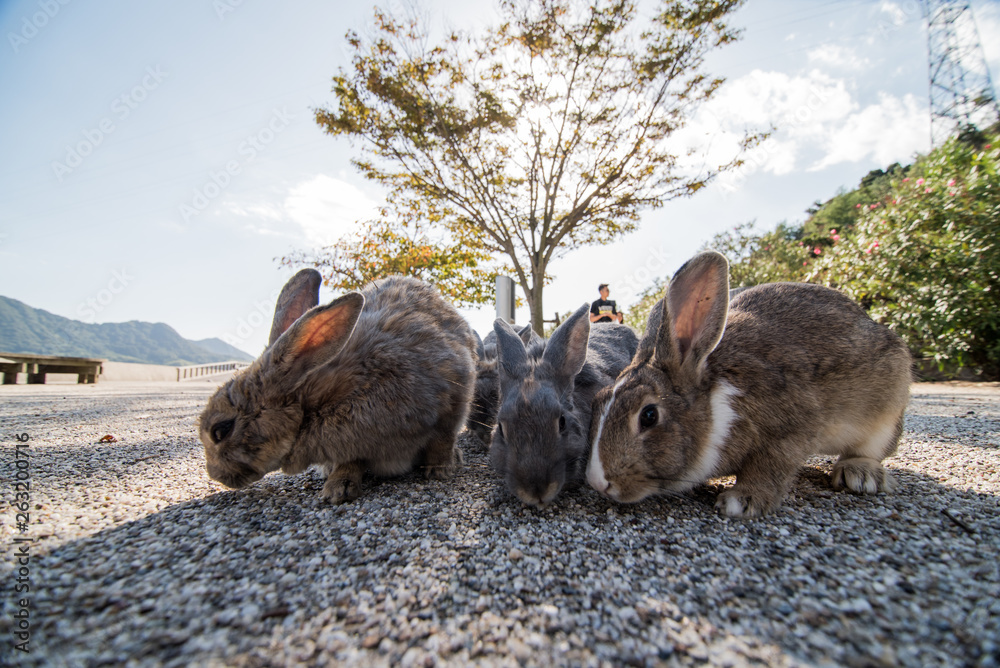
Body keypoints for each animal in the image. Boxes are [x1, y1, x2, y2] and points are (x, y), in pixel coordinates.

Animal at [199, 269, 476, 503]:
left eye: (221, 430)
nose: (215, 475)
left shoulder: (451, 394)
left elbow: (442, 437)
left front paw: (440, 470)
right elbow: (350, 461)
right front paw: (338, 489)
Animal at [587, 250, 913, 518]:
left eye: (649, 416)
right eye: (599, 400)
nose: (599, 482)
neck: (716, 407)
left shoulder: (791, 427)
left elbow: (770, 466)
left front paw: (741, 501)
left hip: (887, 410)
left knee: (870, 448)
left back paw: (860, 474)